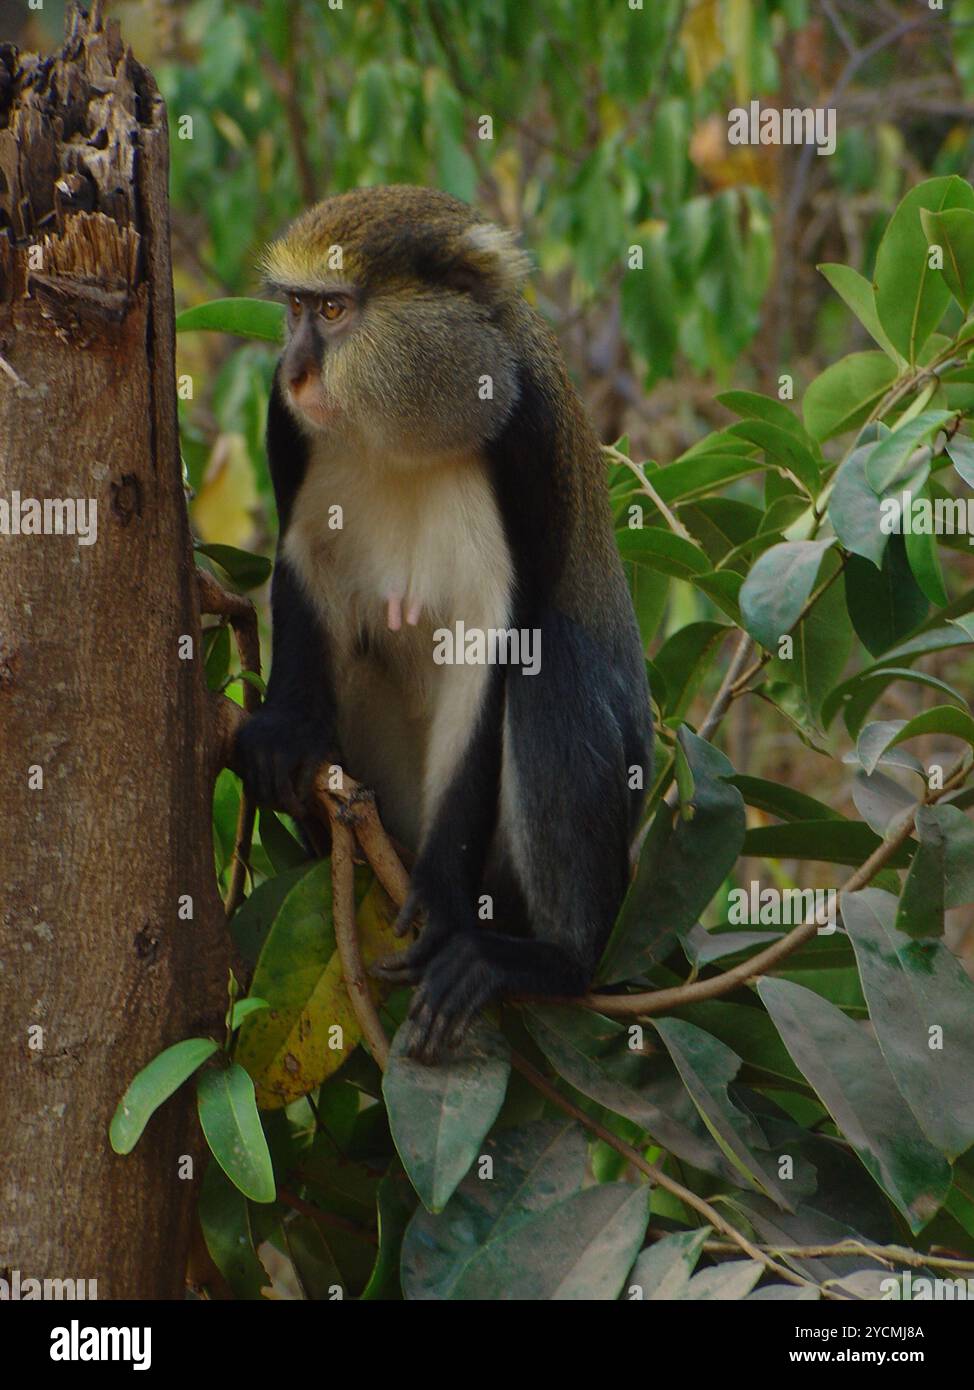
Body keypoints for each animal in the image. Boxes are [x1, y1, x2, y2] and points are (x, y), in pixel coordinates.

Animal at [235, 185, 653, 1061]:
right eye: (295, 311)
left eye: (334, 309)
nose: (294, 370)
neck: (403, 433)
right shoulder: (287, 433)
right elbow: (306, 576)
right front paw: (287, 734)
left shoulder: (524, 438)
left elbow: (500, 641)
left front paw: (439, 898)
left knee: (550, 663)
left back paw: (547, 960)